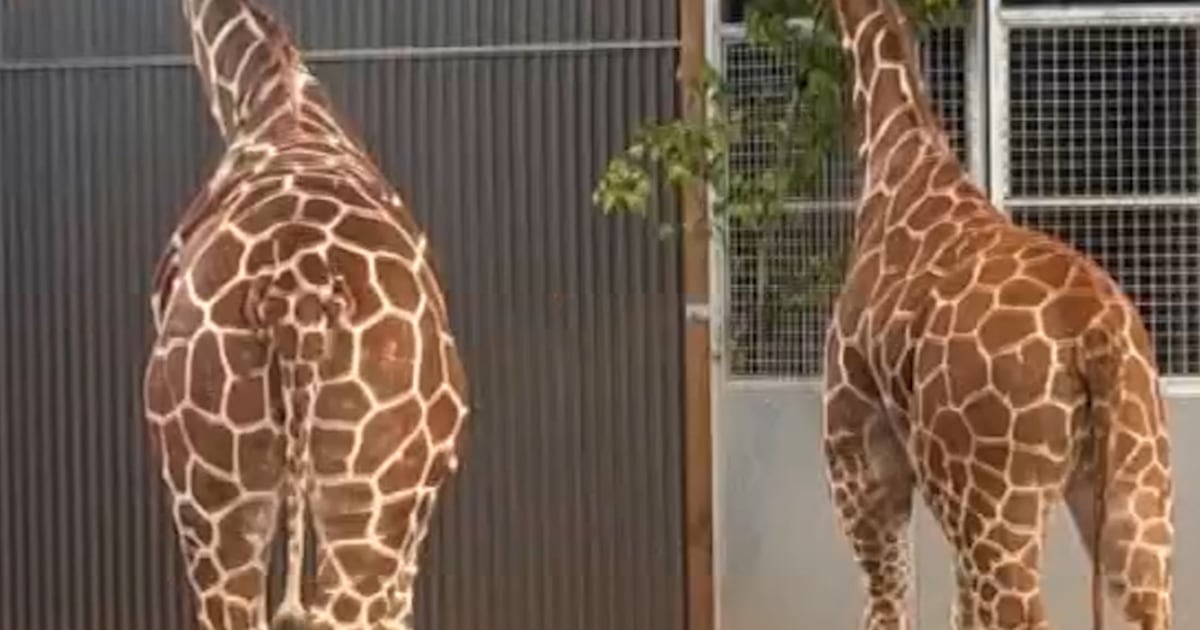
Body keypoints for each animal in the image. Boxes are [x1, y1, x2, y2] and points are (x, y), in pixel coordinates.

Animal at [818, 1, 1174, 628]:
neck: (896, 149)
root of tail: (1096, 332)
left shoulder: (862, 462)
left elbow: (886, 607)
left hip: (999, 505)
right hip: (1132, 488)